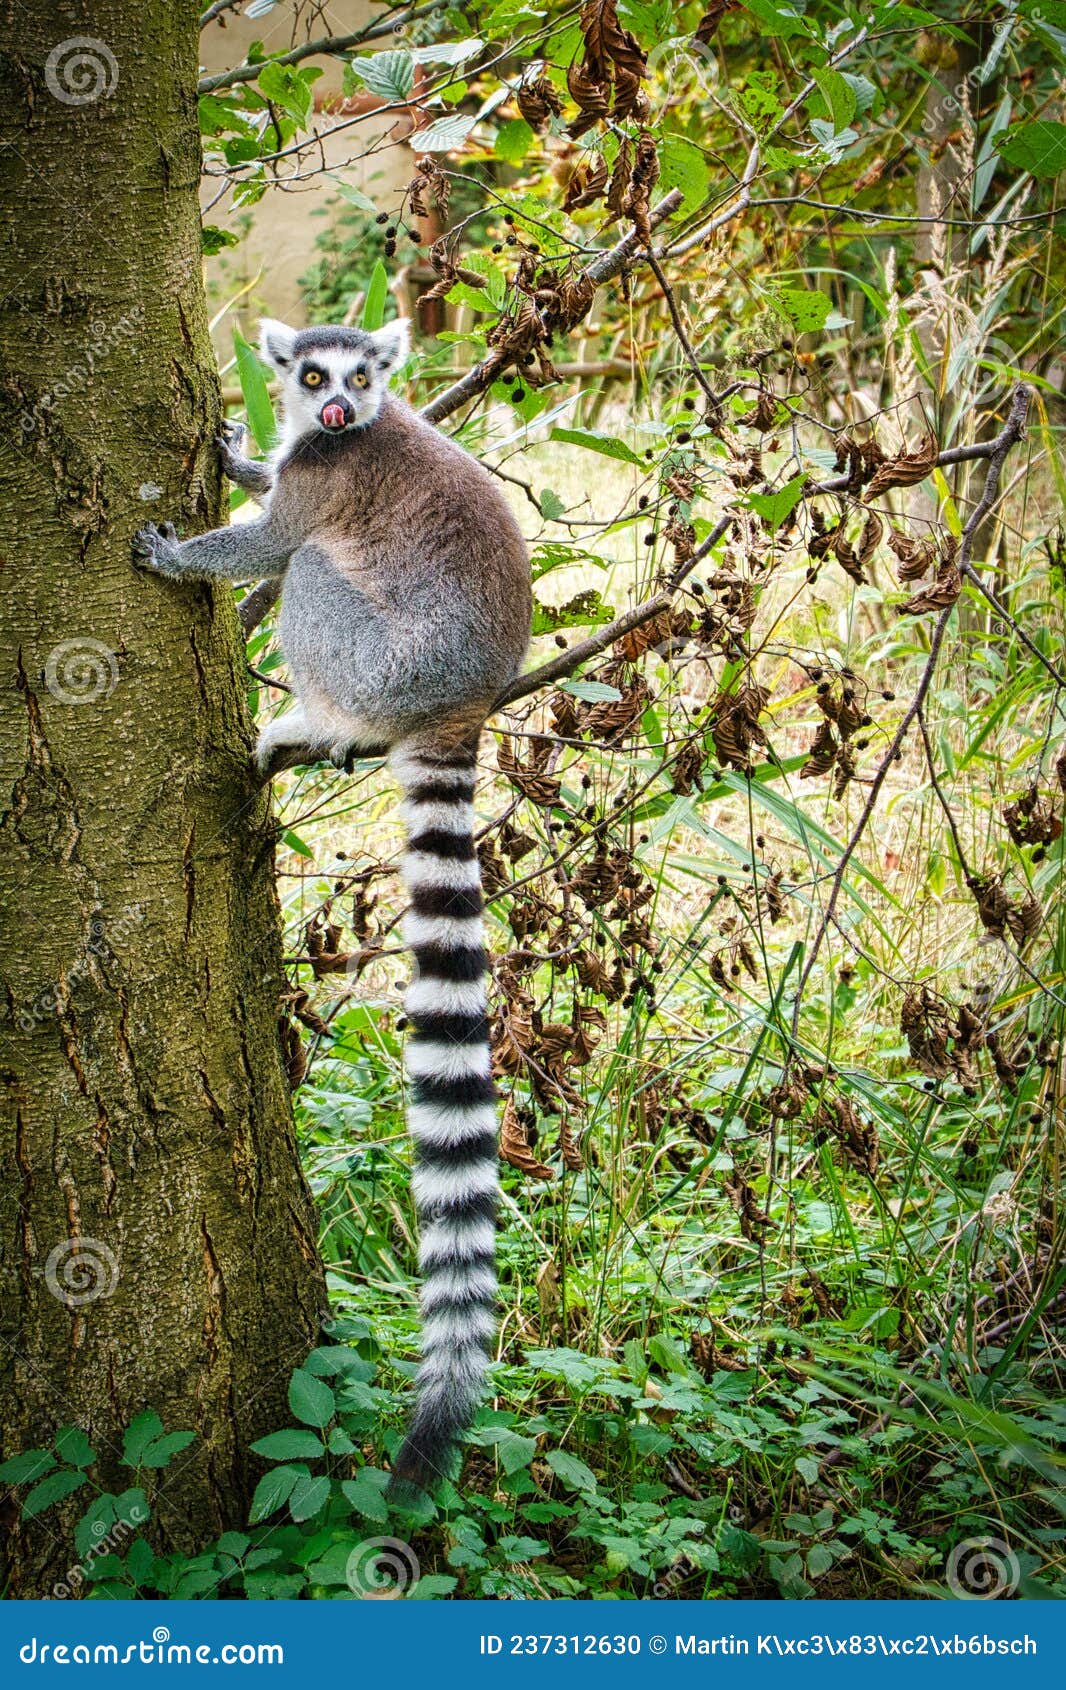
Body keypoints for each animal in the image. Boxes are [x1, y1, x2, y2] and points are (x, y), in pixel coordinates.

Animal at [133, 318, 531, 1494]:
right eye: (313, 377)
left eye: (362, 377)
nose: (342, 412)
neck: (346, 438)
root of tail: (464, 698)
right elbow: (271, 487)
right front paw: (236, 454)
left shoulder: (330, 483)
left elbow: (272, 543)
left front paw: (183, 554)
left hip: (378, 660)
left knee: (309, 568)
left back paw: (303, 728)